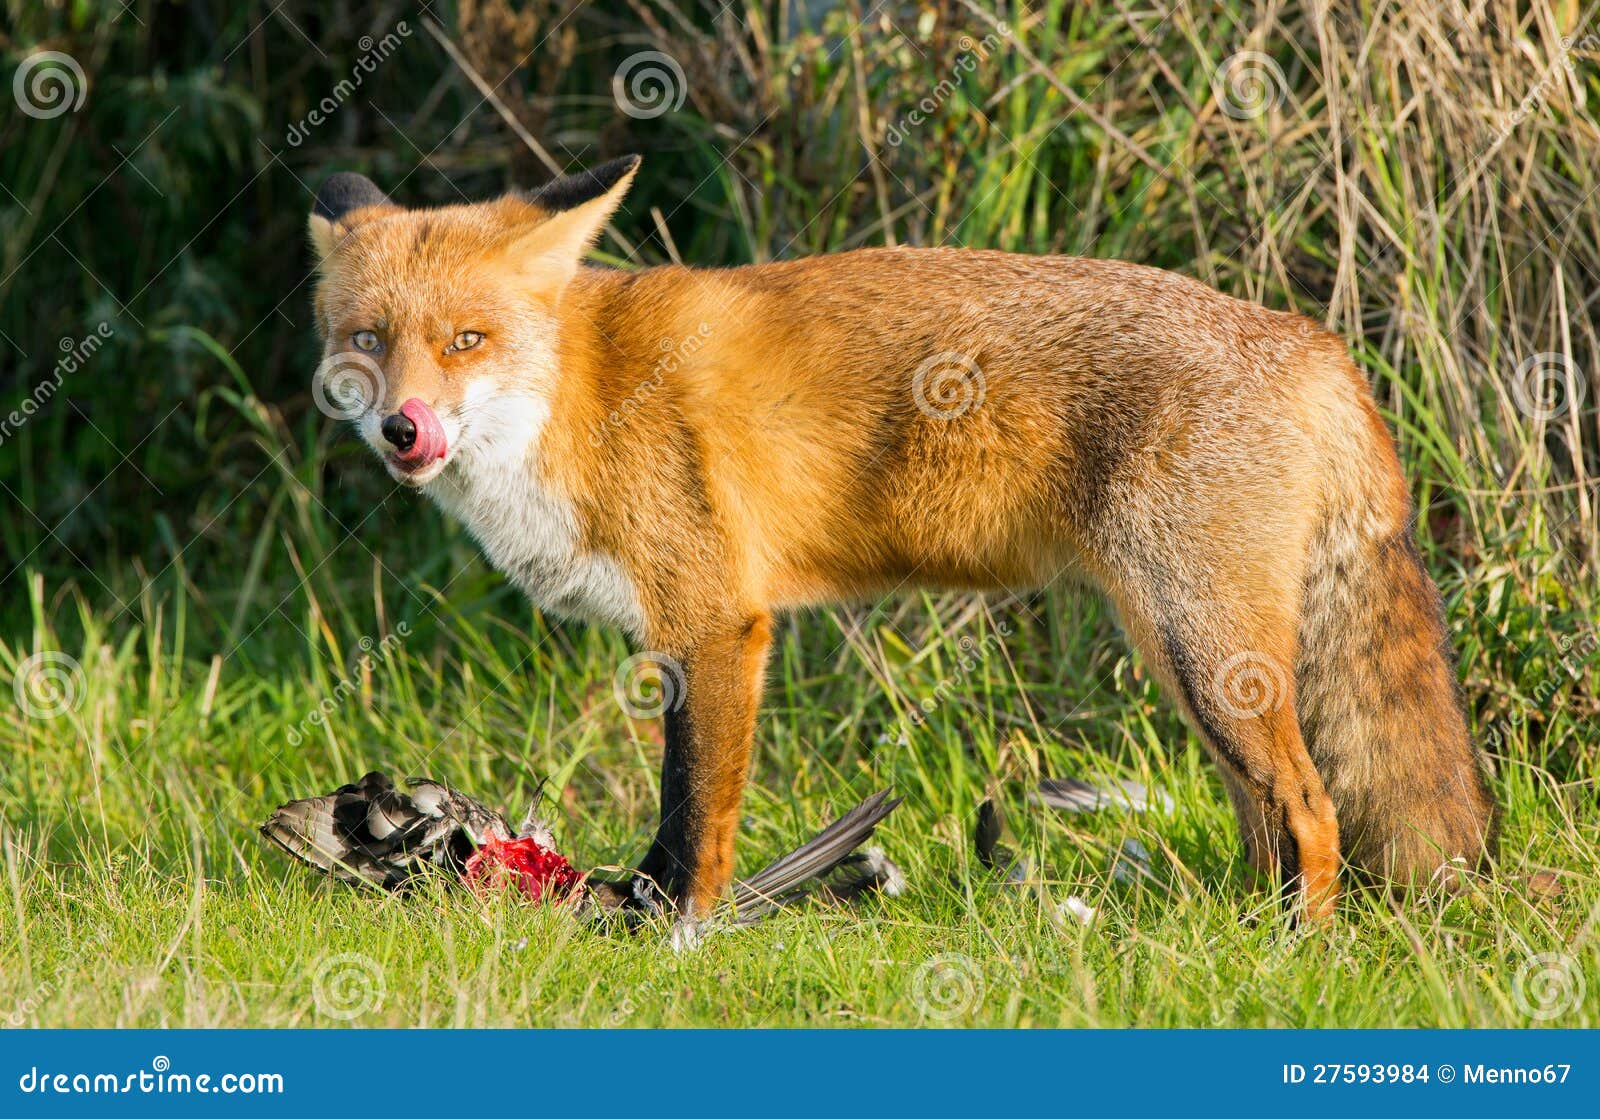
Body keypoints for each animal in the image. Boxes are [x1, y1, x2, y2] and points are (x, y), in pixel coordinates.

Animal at [306, 154, 1495, 924]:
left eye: (468, 341)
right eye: (368, 339)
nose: (404, 428)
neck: (577, 398)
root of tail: (1312, 341)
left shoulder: (716, 623)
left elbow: (695, 813)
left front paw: (673, 931)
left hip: (1202, 647)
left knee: (1312, 807)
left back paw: (1295, 954)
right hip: (1192, 658)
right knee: (1267, 814)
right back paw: (1245, 932)